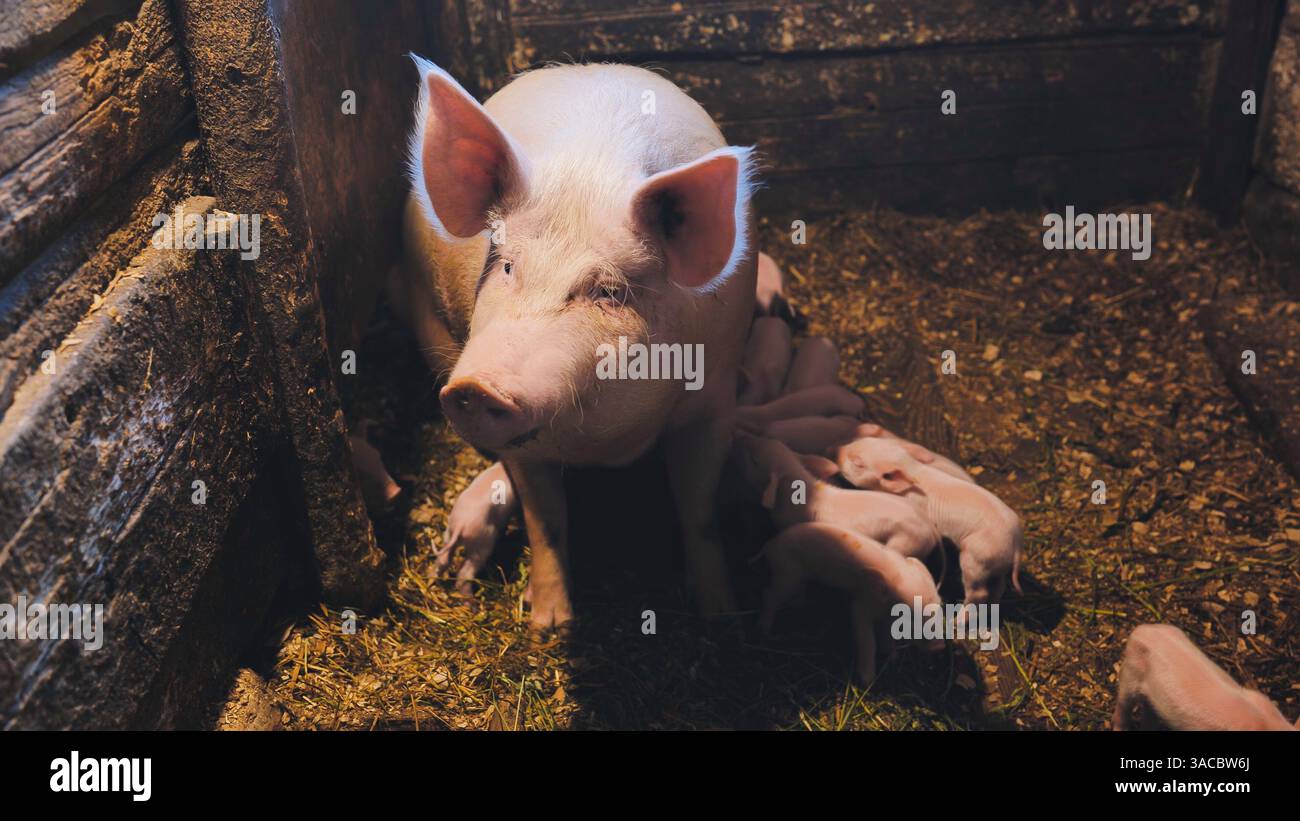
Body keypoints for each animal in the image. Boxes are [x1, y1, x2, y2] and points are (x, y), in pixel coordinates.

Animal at [437, 462, 519, 595]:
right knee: (466, 573)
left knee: (443, 559)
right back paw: (470, 598)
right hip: (482, 543)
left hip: (448, 532)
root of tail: (461, 524)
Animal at [757, 522, 944, 682]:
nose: (939, 647)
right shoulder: (860, 605)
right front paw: (867, 680)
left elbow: (887, 635)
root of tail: (770, 545)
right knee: (768, 595)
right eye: (910, 616)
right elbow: (868, 640)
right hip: (787, 575)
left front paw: (892, 657)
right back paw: (768, 632)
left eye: (939, 607)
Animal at [834, 436, 1022, 606]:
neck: (911, 469)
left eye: (858, 463)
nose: (836, 449)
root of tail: (1016, 543)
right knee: (999, 587)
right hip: (996, 562)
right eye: (862, 439)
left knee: (979, 592)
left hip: (977, 559)